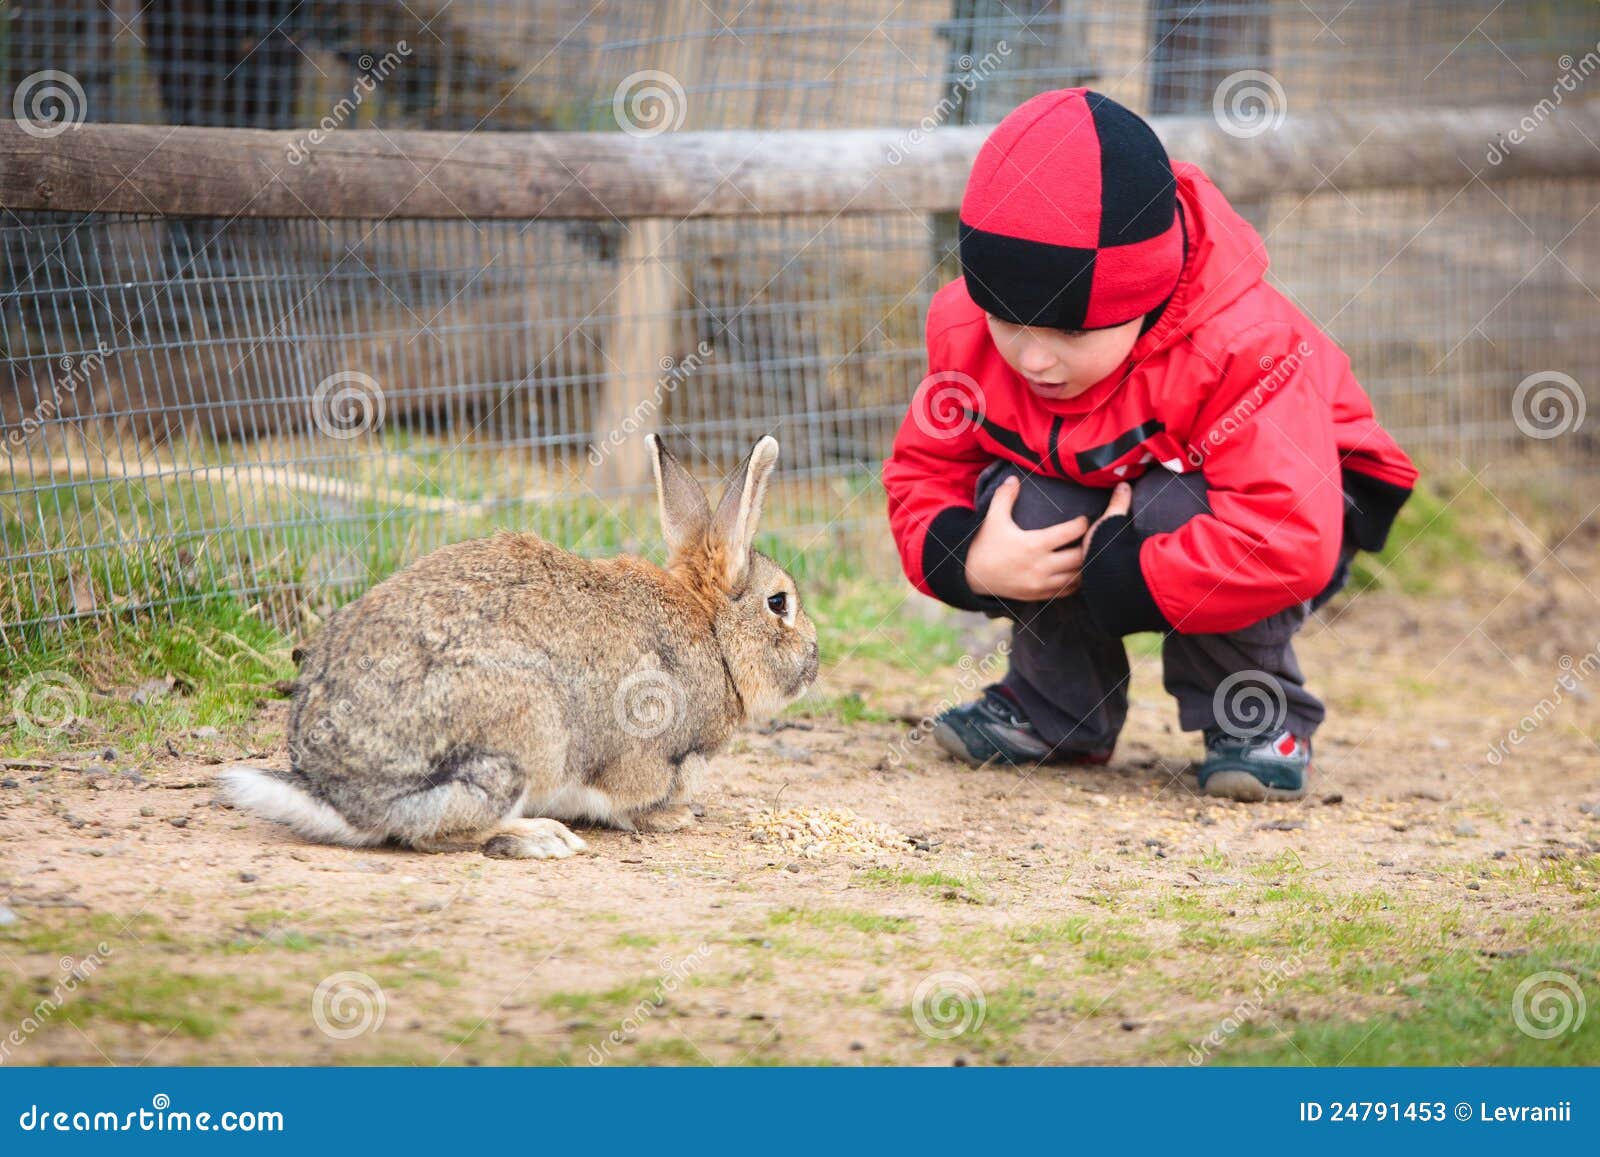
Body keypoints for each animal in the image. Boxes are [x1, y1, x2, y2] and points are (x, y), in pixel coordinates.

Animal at [220, 435, 818, 860]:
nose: (814, 659)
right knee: (437, 830)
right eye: (778, 603)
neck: (713, 632)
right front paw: (674, 817)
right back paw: (542, 836)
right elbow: (632, 798)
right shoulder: (648, 752)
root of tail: (339, 795)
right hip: (526, 733)